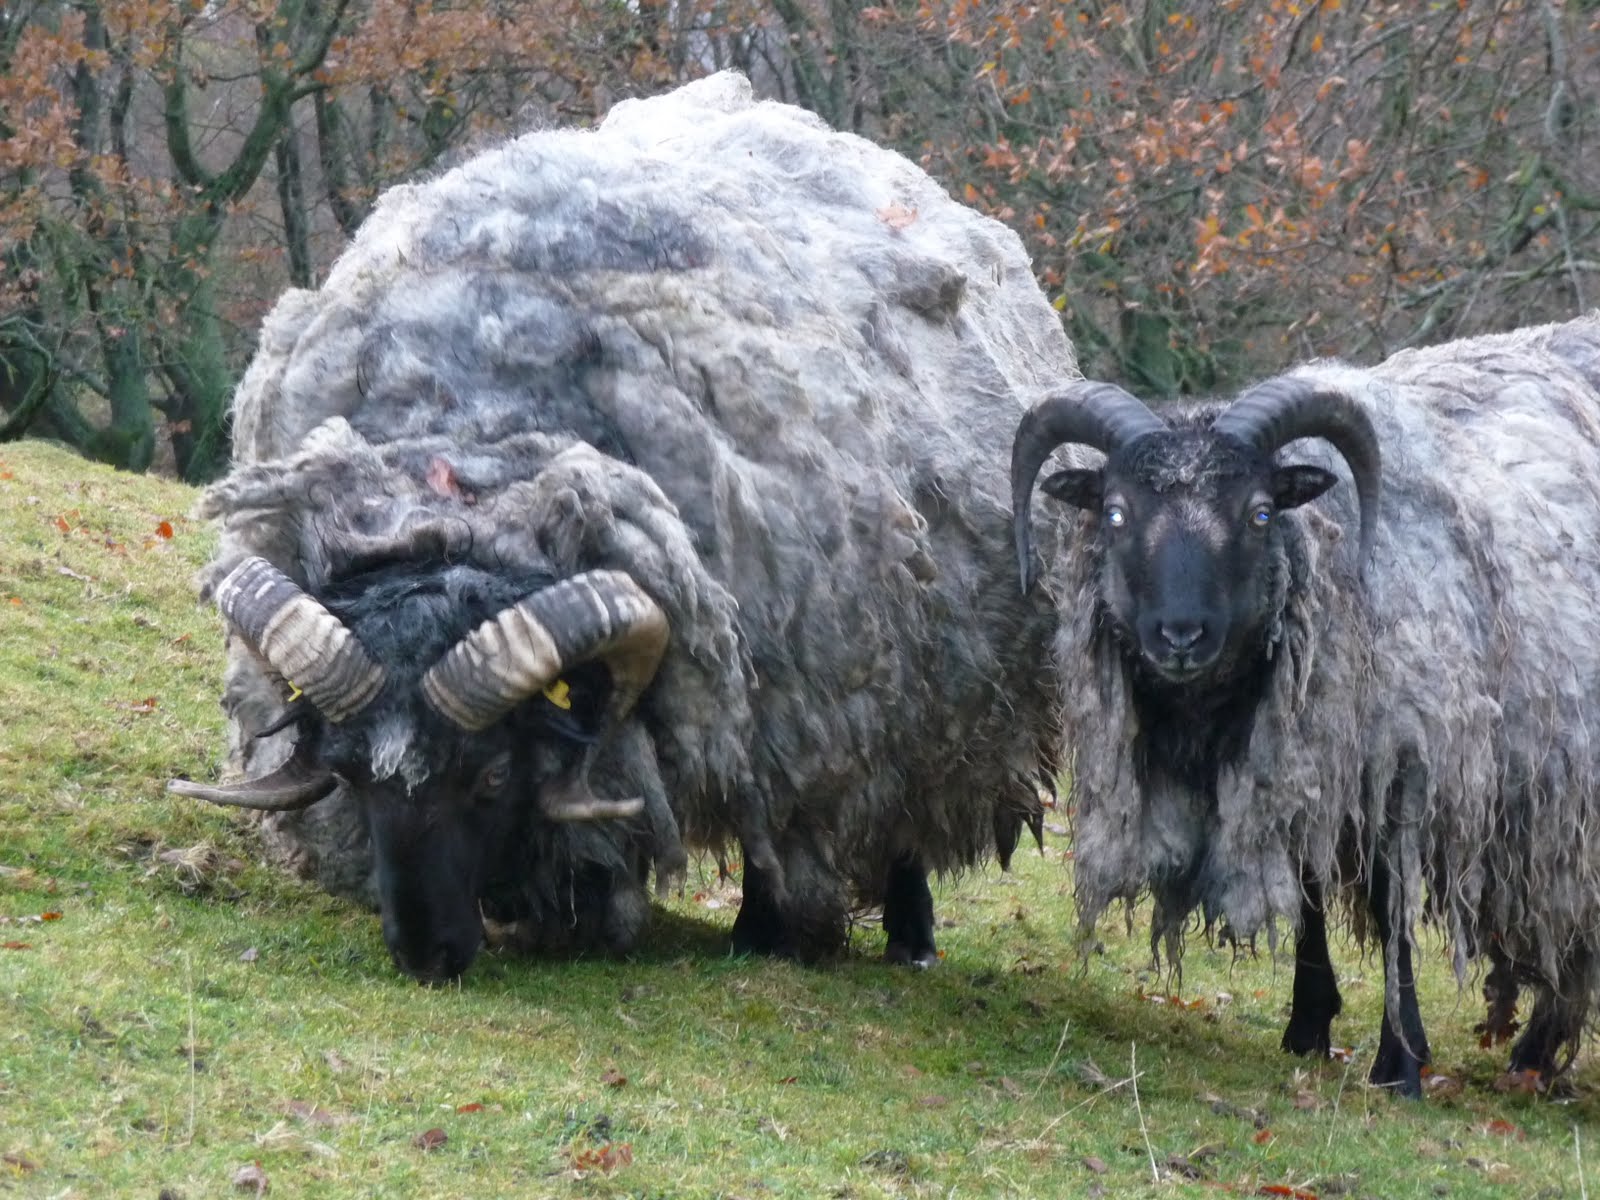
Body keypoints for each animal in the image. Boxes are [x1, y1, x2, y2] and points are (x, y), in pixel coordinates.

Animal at [169, 71, 1074, 982]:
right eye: (350, 774)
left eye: (491, 778)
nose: (428, 956)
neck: (471, 462)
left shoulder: (789, 706)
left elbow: (768, 821)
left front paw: (765, 929)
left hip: (920, 683)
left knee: (888, 805)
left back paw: (899, 932)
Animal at [1010, 314, 1600, 1095]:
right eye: (1114, 512)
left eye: (1261, 513)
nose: (1180, 635)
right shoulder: (1301, 761)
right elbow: (1312, 890)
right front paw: (1309, 1025)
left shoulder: (1400, 760)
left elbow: (1389, 908)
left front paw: (1400, 1061)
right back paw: (1535, 1050)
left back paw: (1535, 1048)